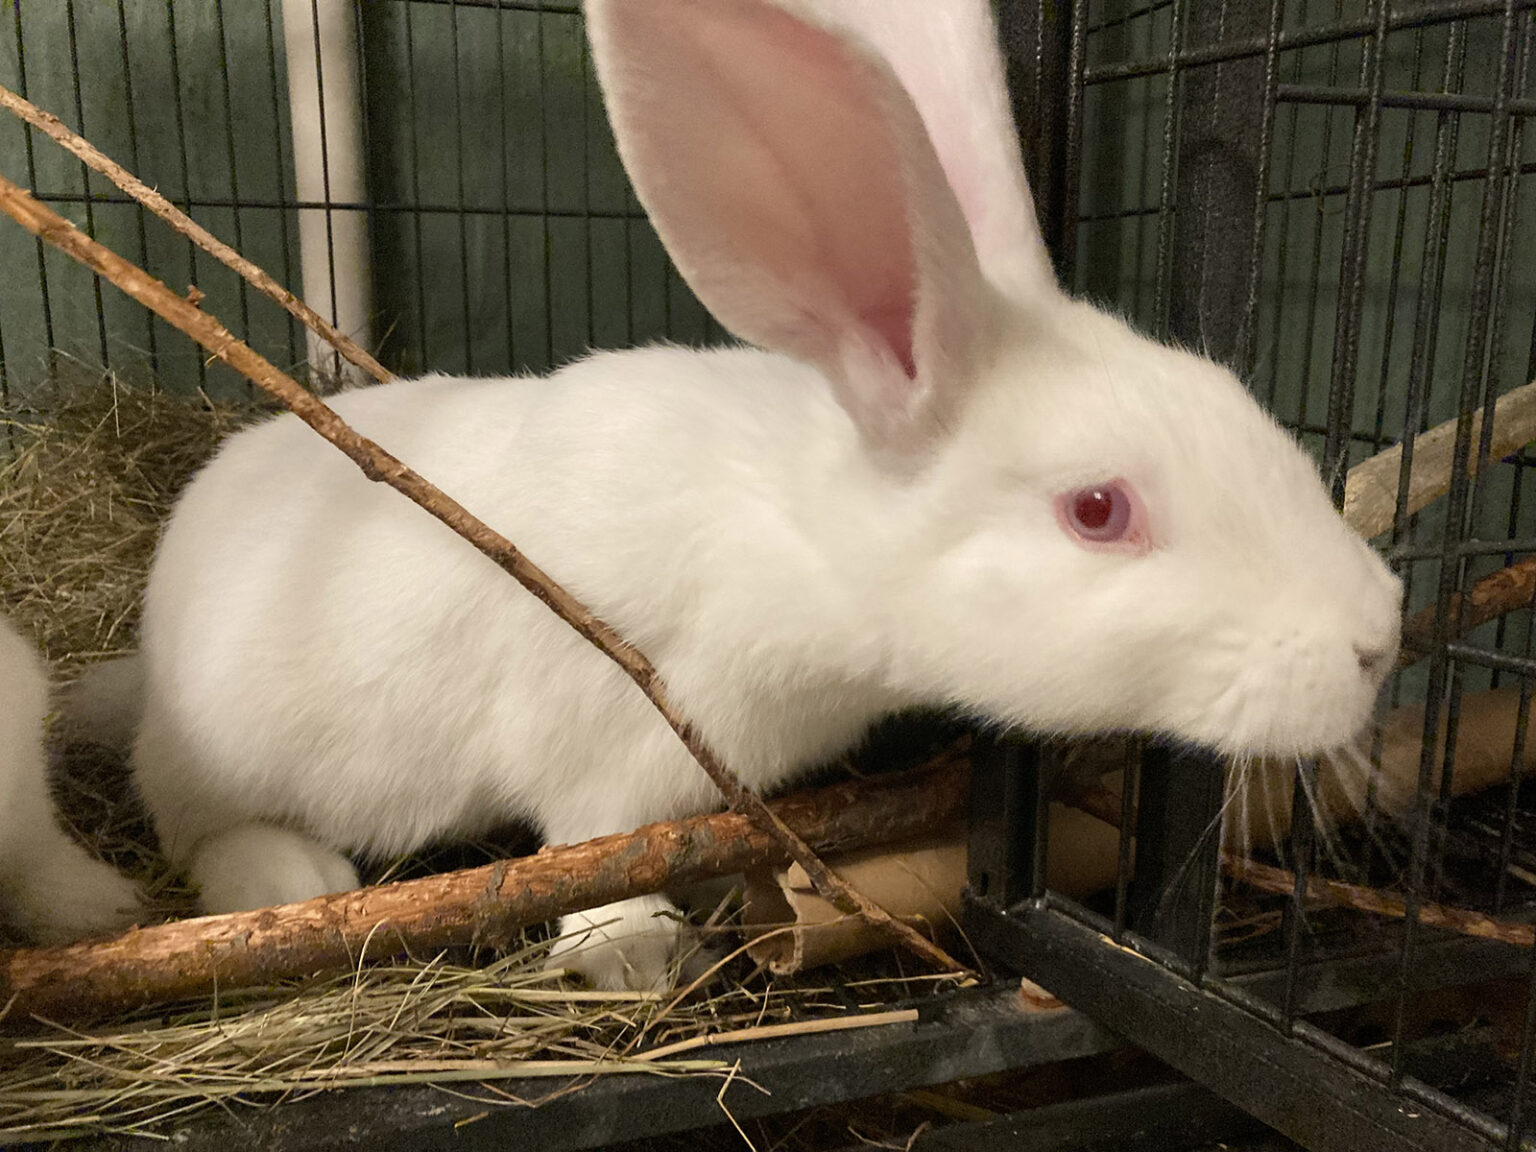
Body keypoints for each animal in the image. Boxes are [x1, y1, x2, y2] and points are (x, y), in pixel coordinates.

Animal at [123, 0, 1402, 992]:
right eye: (1097, 511)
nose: (1380, 637)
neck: (803, 536)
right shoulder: (618, 741)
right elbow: (599, 849)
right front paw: (637, 955)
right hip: (220, 756)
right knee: (188, 819)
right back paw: (290, 874)